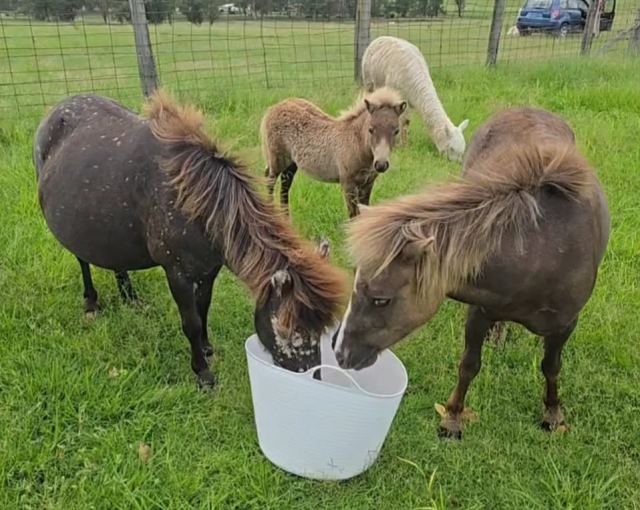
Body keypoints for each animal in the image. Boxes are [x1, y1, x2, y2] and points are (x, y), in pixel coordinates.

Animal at [33, 91, 345, 388]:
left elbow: (203, 306)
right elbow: (191, 321)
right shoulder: (177, 273)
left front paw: (206, 348)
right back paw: (91, 302)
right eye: (289, 330)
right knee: (82, 259)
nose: (312, 378)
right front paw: (203, 373)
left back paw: (129, 297)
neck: (196, 201)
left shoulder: (209, 269)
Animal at [260, 87, 406, 218]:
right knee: (270, 181)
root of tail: (273, 108)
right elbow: (353, 215)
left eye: (396, 131)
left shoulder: (367, 184)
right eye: (371, 129)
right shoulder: (348, 184)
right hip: (277, 161)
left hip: (291, 164)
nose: (381, 164)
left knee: (284, 188)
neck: (355, 143)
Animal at [333, 107, 610, 438]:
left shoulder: (565, 324)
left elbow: (552, 367)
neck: (542, 250)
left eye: (380, 300)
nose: (339, 352)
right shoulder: (480, 311)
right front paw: (452, 418)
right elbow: (469, 365)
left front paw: (553, 414)